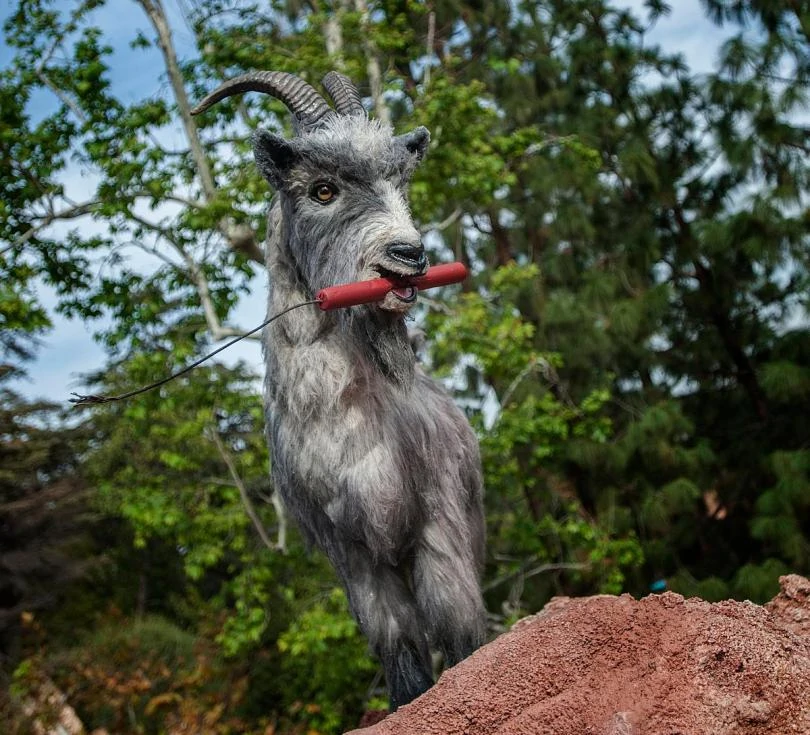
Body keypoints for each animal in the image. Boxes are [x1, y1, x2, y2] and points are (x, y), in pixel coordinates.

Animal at [192, 70, 486, 710]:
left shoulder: (438, 520)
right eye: (321, 190)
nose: (408, 256)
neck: (341, 417)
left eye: (401, 181)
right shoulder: (350, 551)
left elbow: (459, 624)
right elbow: (396, 641)